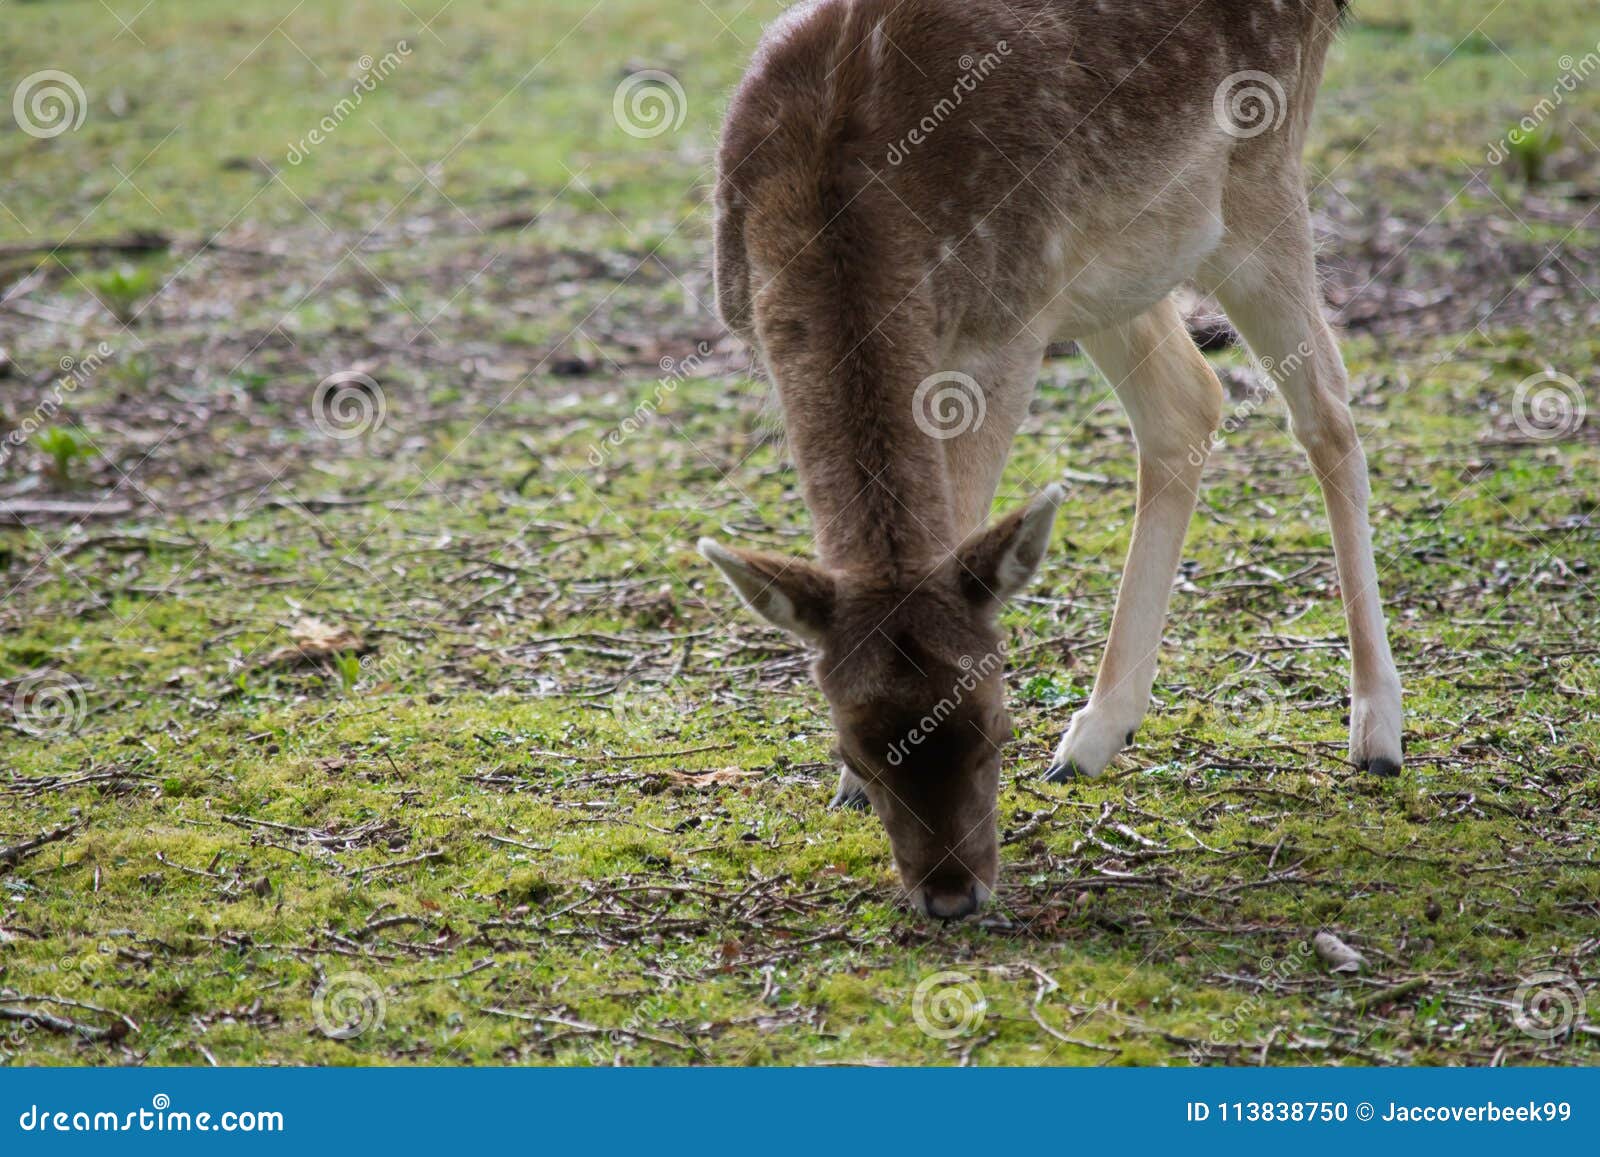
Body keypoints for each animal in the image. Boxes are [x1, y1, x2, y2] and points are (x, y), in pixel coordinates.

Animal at [699, 0, 1402, 920]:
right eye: (855, 747)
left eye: (997, 728)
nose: (952, 894)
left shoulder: (1003, 330)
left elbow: (962, 520)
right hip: (1116, 259)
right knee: (1190, 404)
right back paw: (1097, 734)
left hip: (1255, 174)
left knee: (1326, 411)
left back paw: (1377, 729)